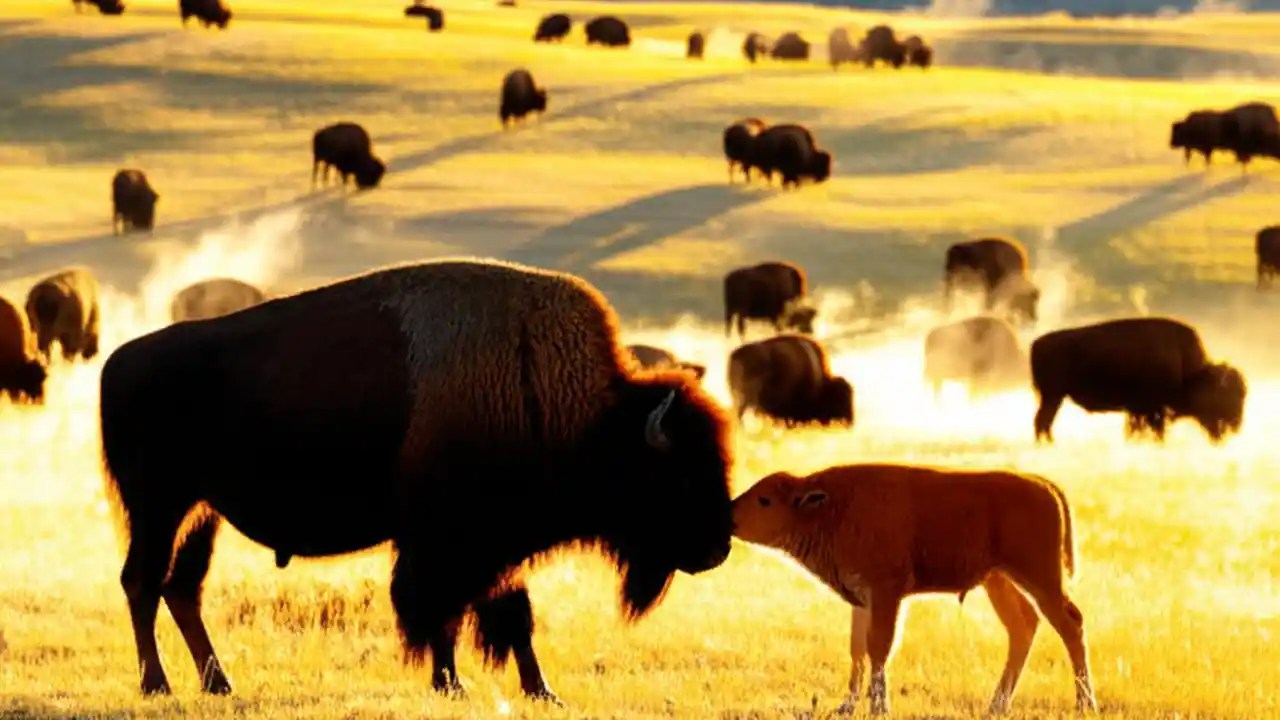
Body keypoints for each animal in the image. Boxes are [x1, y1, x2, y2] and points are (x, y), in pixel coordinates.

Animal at [99, 258, 734, 702]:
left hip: (201, 513)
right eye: (678, 475)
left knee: (182, 588)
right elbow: (444, 612)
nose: (718, 549)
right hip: (158, 506)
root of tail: (117, 363)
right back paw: (157, 684)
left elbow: (512, 615)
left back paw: (218, 682)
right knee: (142, 582)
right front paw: (452, 682)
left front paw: (540, 690)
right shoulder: (445, 543)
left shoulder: (493, 545)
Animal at [731, 464, 1098, 716]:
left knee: (1070, 624)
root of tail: (1043, 483)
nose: (730, 515)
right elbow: (857, 649)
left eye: (765, 500)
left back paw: (1085, 704)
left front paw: (879, 707)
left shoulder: (886, 593)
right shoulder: (861, 598)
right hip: (999, 580)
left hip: (1041, 579)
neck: (831, 508)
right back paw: (997, 705)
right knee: (1023, 626)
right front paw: (846, 705)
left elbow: (879, 648)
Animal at [1030, 317, 1246, 443]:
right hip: (1053, 396)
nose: (1236, 424)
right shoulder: (1152, 408)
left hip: (1053, 397)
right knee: (1043, 421)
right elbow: (1153, 429)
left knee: (1044, 422)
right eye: (1227, 396)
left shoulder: (1140, 409)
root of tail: (1036, 344)